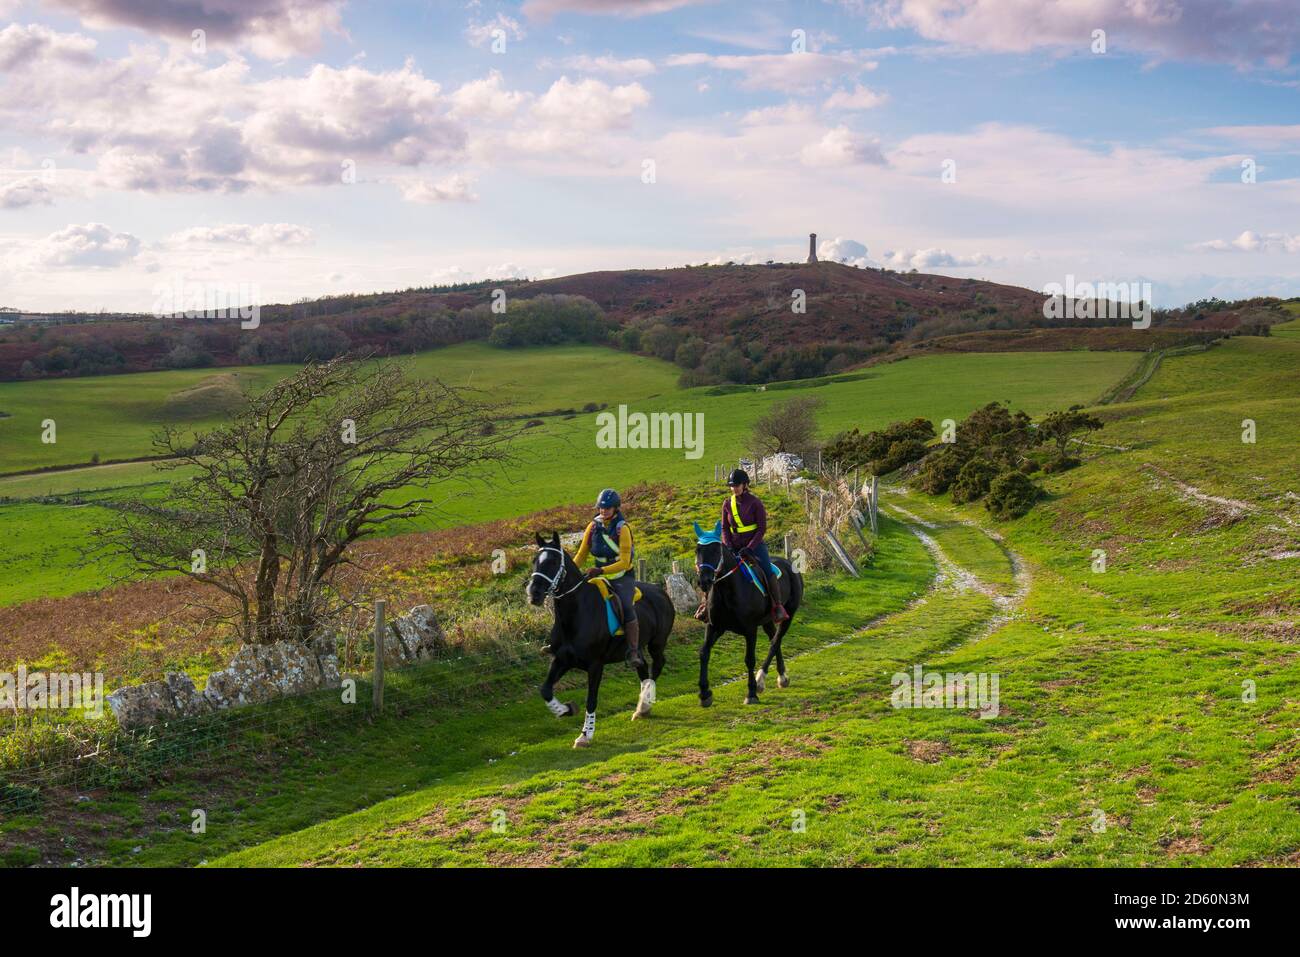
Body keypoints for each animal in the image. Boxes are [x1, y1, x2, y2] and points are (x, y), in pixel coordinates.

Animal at [526, 531, 675, 748]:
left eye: (553, 561)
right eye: (535, 561)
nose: (534, 593)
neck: (575, 615)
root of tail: (661, 592)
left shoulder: (595, 665)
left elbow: (591, 699)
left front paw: (585, 735)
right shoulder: (561, 660)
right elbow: (545, 690)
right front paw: (566, 709)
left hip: (657, 643)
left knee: (657, 665)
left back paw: (645, 704)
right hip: (637, 648)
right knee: (642, 666)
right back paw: (641, 707)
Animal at [693, 521, 803, 708]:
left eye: (716, 550)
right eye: (697, 550)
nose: (704, 581)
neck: (727, 590)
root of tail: (788, 563)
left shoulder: (750, 630)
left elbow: (749, 659)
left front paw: (751, 693)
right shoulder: (714, 627)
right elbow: (703, 653)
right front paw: (704, 693)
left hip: (788, 614)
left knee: (775, 642)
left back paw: (761, 680)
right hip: (767, 620)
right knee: (775, 639)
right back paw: (782, 676)